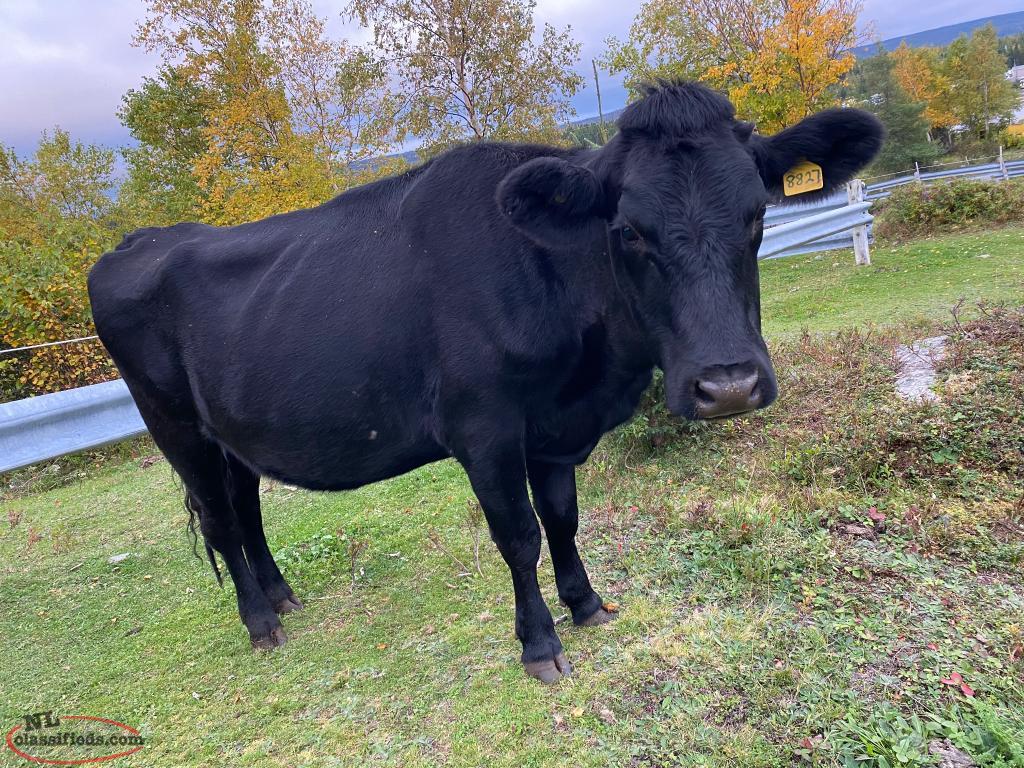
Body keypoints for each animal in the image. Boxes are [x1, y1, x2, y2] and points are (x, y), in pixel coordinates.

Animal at [88, 81, 882, 683]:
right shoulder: (485, 431)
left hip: (232, 427)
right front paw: (540, 645)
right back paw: (259, 624)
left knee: (246, 507)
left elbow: (562, 518)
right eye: (629, 231)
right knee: (220, 518)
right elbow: (520, 536)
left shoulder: (556, 431)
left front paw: (587, 605)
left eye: (757, 215)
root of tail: (139, 241)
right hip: (174, 425)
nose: (730, 385)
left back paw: (281, 598)